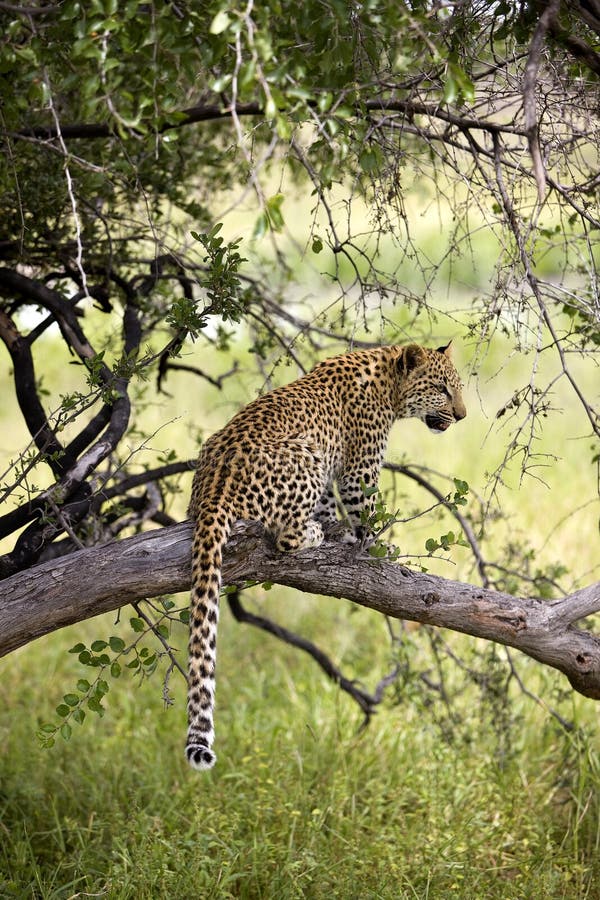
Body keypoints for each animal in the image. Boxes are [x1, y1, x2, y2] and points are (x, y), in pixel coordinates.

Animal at [185, 342, 466, 770]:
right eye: (440, 388)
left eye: (458, 388)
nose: (463, 415)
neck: (389, 382)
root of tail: (213, 492)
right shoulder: (358, 469)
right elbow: (364, 511)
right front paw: (374, 544)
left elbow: (329, 507)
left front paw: (338, 529)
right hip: (308, 453)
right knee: (284, 537)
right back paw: (314, 535)